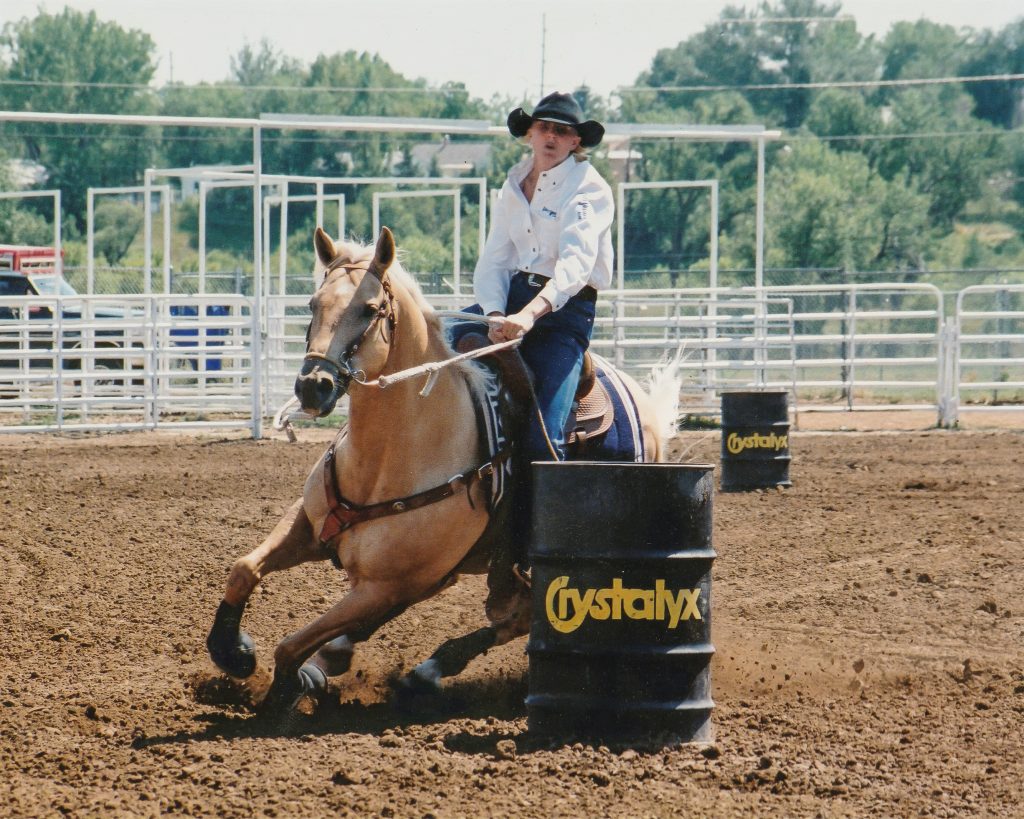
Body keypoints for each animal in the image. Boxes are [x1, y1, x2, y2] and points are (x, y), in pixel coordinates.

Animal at [206, 226, 681, 714]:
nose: (312, 386)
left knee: (521, 614)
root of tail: (642, 403)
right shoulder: (309, 524)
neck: (389, 456)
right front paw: (233, 651)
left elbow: (291, 646)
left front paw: (283, 687)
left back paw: (422, 671)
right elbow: (243, 569)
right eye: (313, 303)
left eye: (370, 309)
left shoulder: (385, 585)